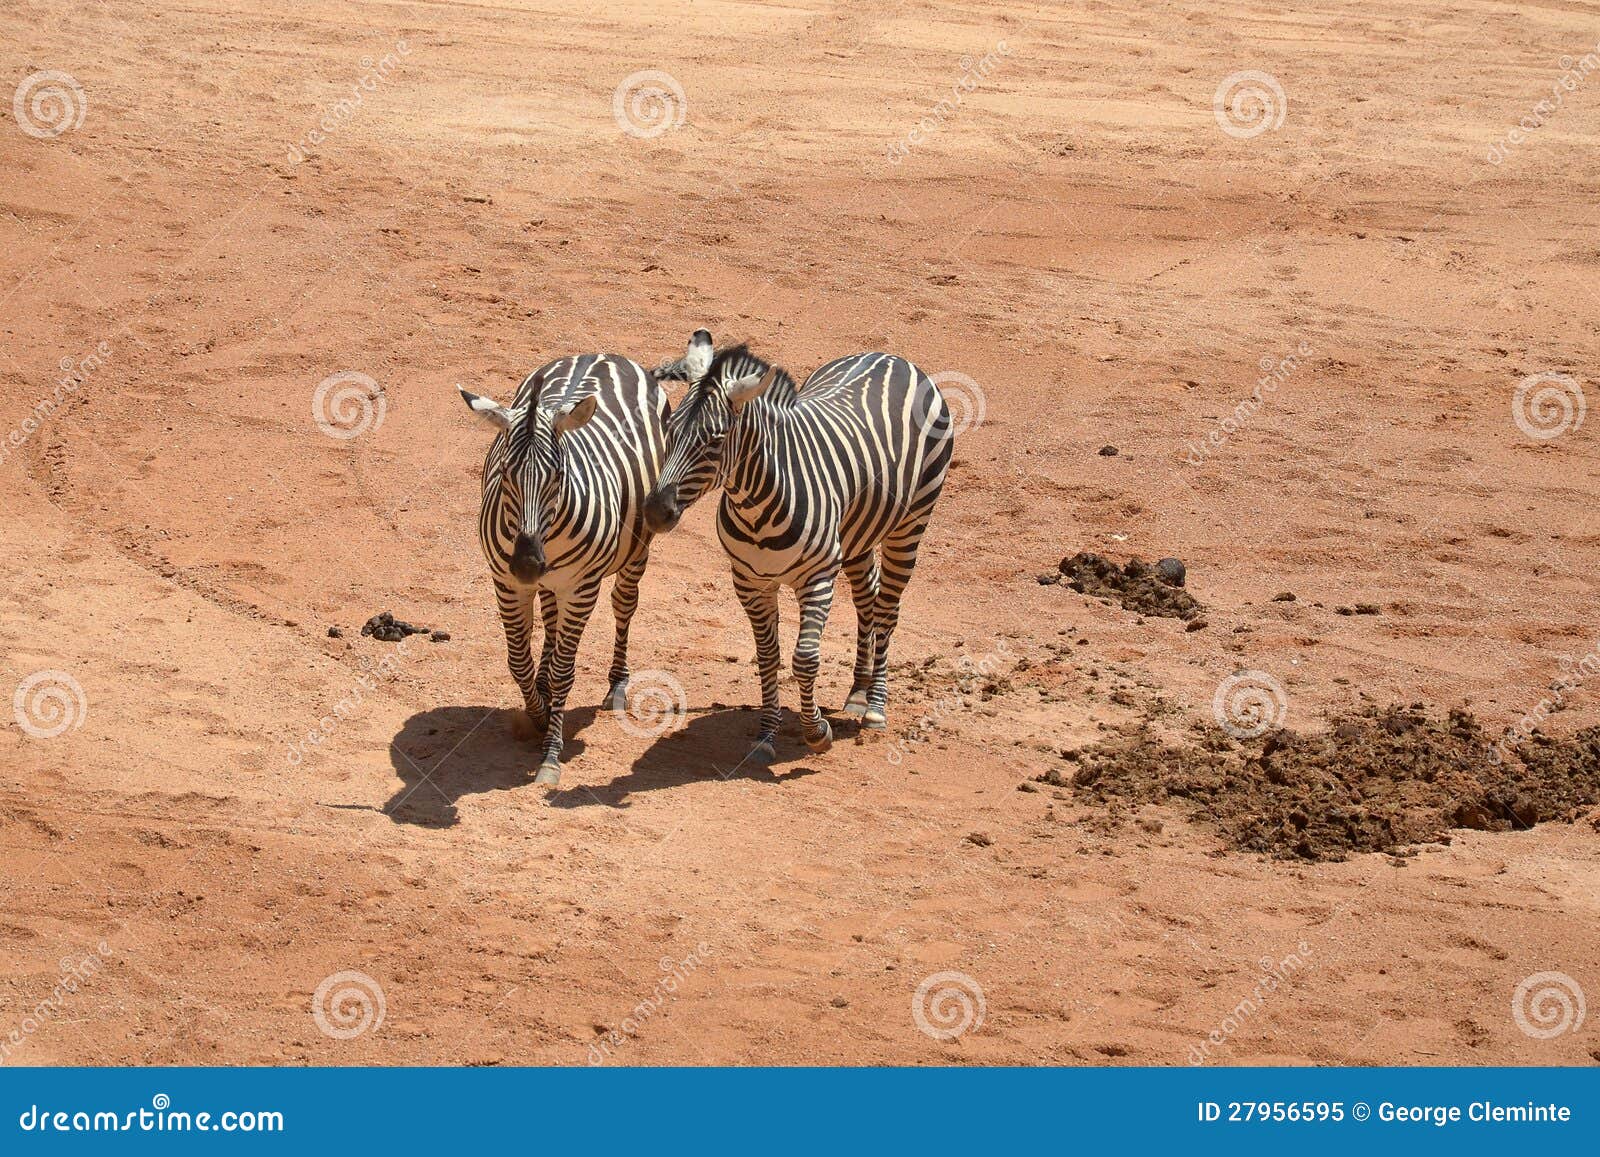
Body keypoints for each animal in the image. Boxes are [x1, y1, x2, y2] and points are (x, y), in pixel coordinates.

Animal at [458, 354, 668, 785]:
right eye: (505, 474)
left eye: (557, 476)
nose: (526, 563)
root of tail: (606, 354)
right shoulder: (506, 582)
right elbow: (518, 662)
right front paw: (537, 713)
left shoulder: (582, 588)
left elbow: (564, 672)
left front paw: (551, 756)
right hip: (549, 583)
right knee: (551, 620)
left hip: (637, 548)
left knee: (624, 605)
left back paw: (617, 685)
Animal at [644, 333, 953, 765]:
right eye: (669, 429)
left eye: (716, 441)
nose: (655, 511)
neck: (756, 506)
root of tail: (890, 356)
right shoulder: (749, 582)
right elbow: (768, 656)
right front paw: (765, 735)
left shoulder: (818, 577)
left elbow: (804, 660)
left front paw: (816, 733)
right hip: (857, 534)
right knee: (868, 597)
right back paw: (858, 691)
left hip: (911, 522)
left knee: (888, 609)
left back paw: (875, 708)